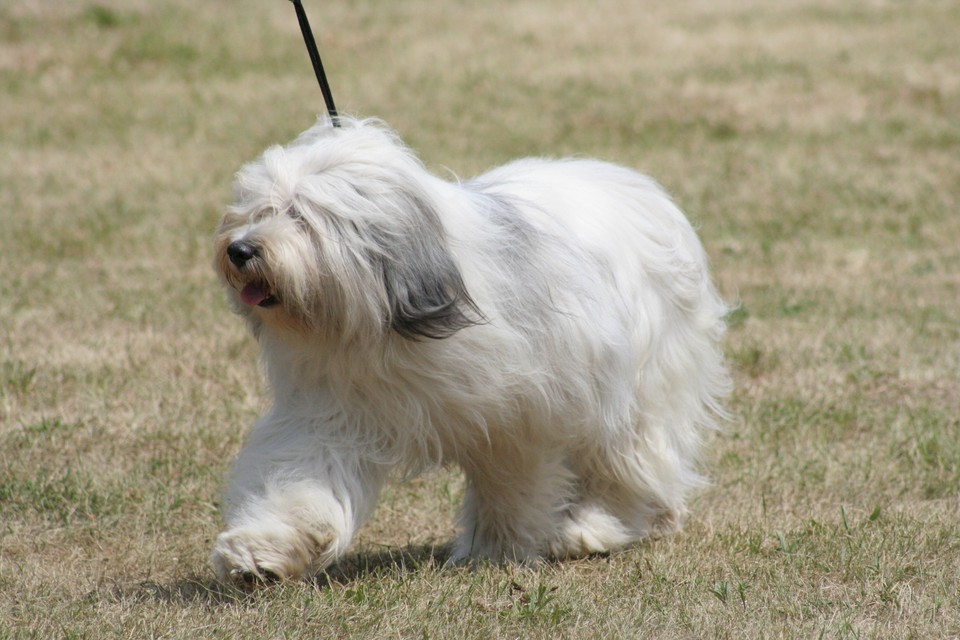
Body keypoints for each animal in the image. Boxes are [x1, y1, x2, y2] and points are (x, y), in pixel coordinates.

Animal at [208, 116, 728, 584]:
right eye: (254, 211)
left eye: (300, 215)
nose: (239, 250)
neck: (388, 323)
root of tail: (637, 186)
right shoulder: (331, 413)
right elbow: (301, 479)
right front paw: (261, 551)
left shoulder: (516, 418)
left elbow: (511, 484)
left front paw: (499, 548)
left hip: (636, 381)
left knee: (627, 460)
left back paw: (593, 527)